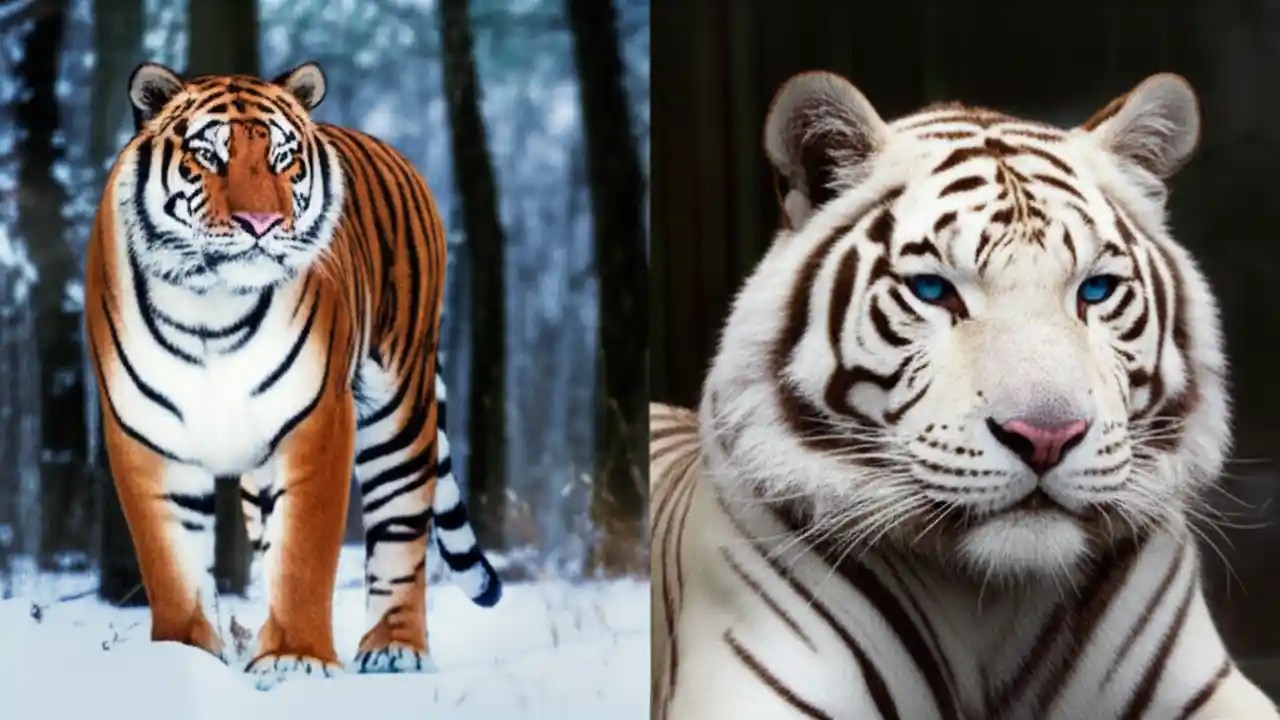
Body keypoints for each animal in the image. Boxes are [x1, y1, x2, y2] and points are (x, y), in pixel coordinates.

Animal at [84, 61, 501, 689]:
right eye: (209, 155)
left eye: (283, 159)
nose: (262, 223)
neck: (211, 306)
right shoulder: (145, 437)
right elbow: (172, 566)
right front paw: (185, 658)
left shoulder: (318, 421)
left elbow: (304, 554)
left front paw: (297, 658)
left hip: (401, 408)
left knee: (400, 527)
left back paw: (395, 648)